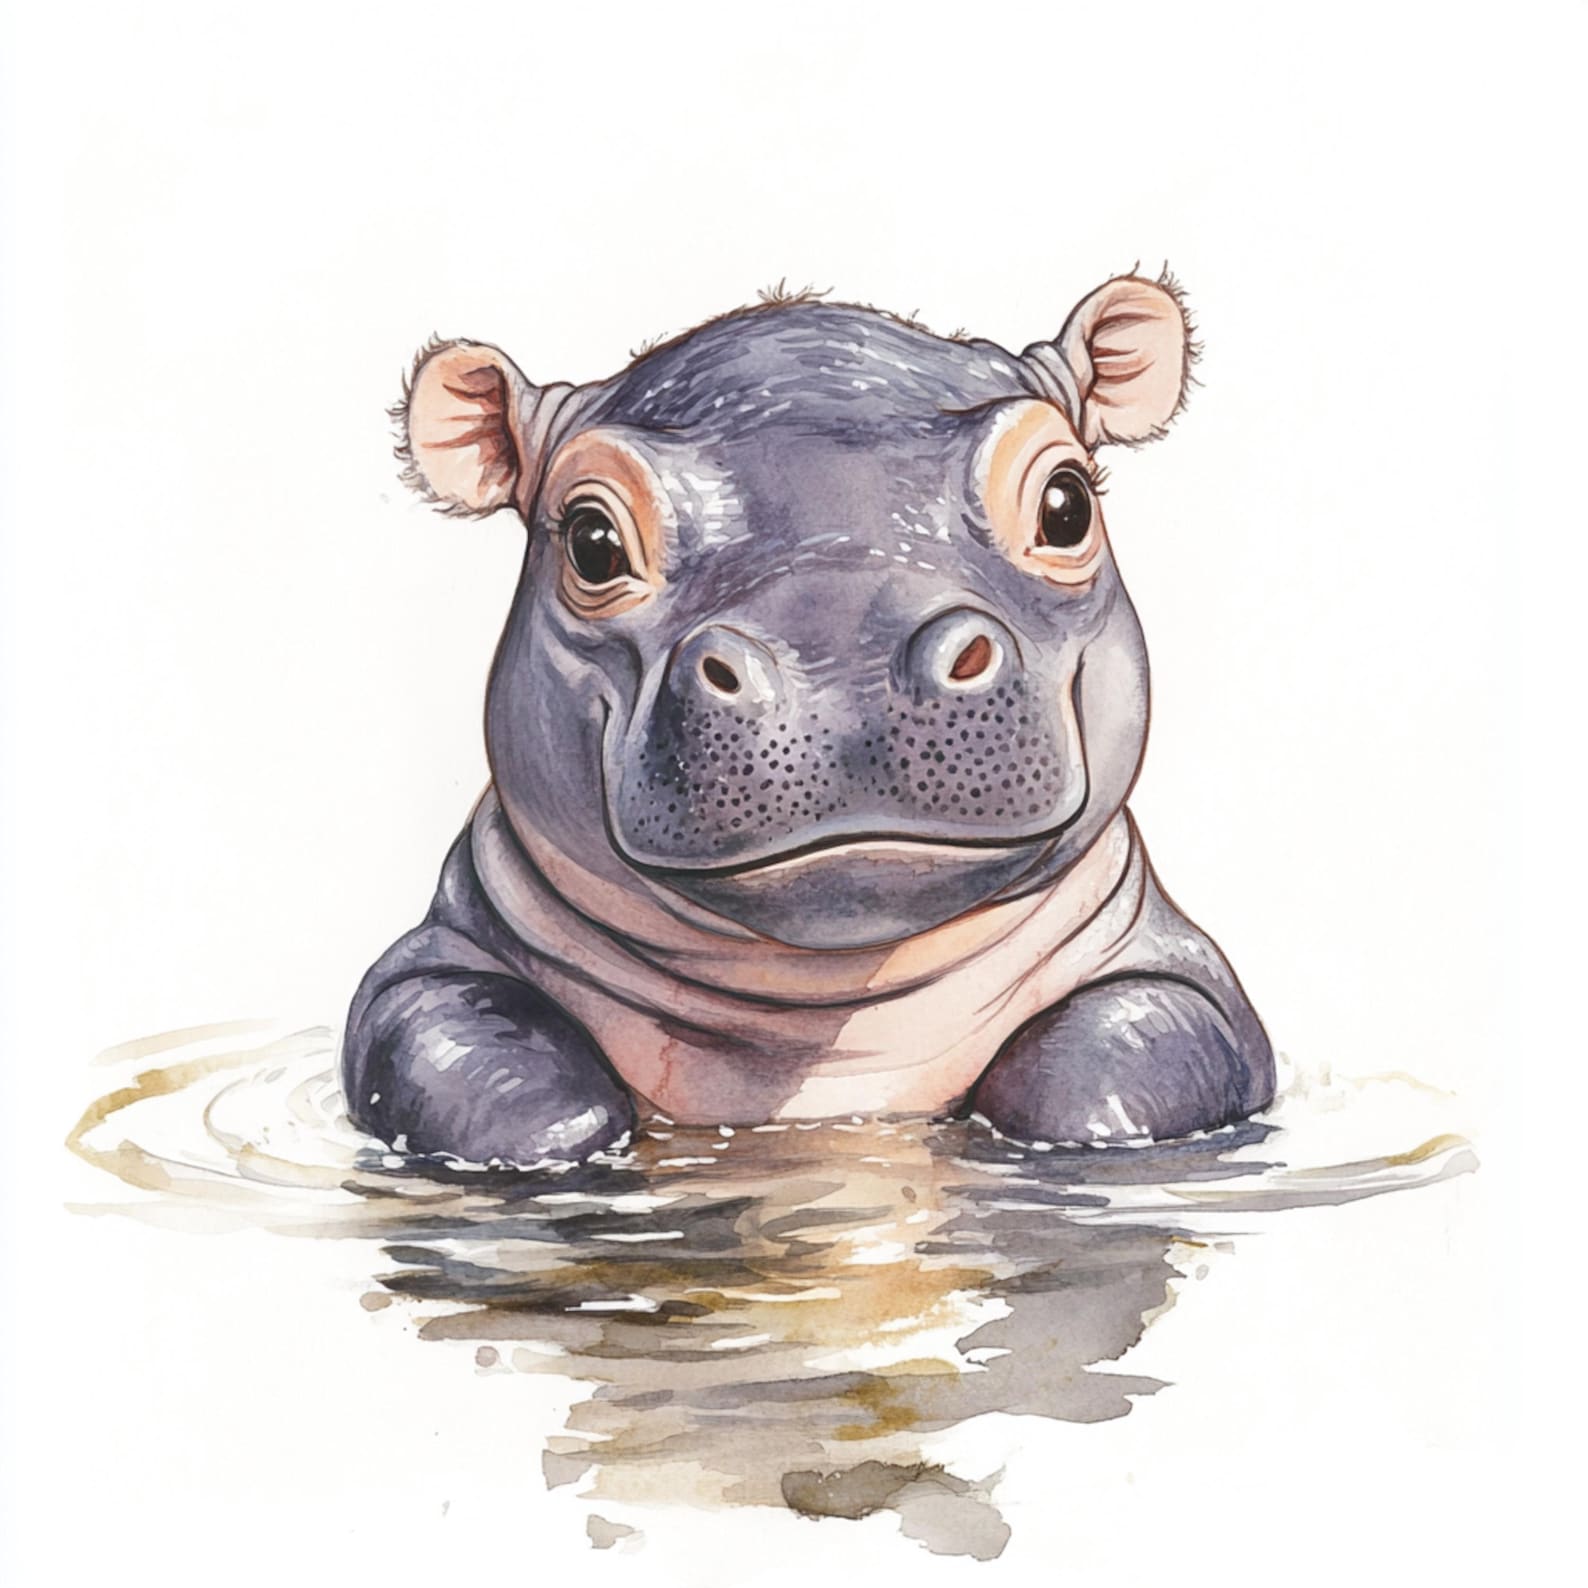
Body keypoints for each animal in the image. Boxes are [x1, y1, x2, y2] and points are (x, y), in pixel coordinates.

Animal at [342, 273, 1275, 1168]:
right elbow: (467, 1054)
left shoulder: (1189, 978)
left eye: (1066, 502)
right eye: (592, 541)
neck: (831, 1020)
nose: (843, 662)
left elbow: (1122, 1053)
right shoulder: (423, 969)